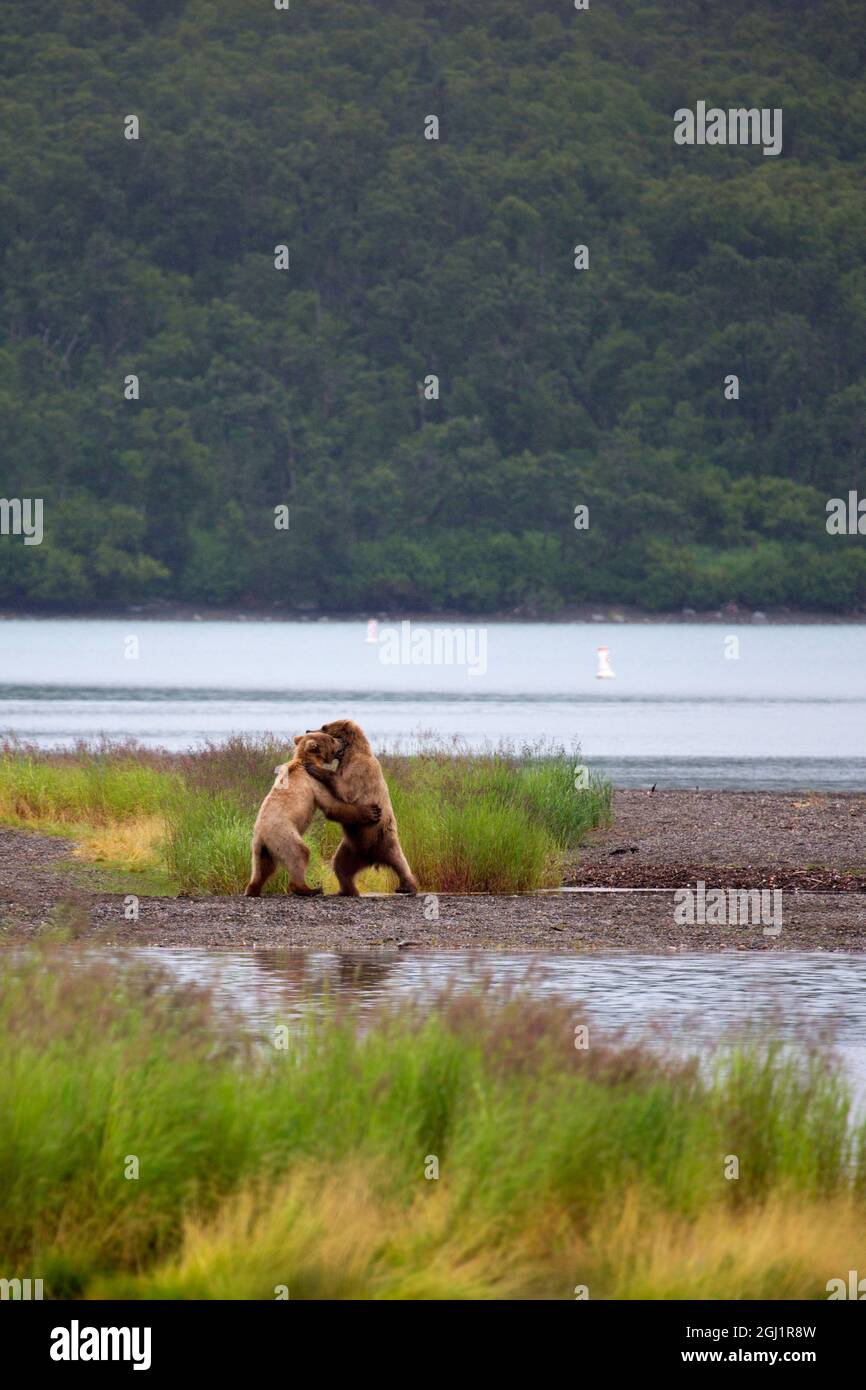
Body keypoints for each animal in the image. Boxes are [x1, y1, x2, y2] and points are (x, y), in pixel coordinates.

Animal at [244, 732, 381, 898]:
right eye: (331, 739)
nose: (342, 740)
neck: (309, 761)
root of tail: (262, 834)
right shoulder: (314, 782)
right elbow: (333, 806)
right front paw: (372, 811)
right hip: (283, 835)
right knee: (299, 854)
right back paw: (310, 889)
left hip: (259, 848)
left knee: (263, 868)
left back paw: (253, 889)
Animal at [302, 718, 419, 897]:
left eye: (324, 727)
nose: (308, 730)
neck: (348, 754)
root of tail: (372, 858)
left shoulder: (360, 769)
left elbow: (346, 790)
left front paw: (312, 767)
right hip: (351, 848)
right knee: (340, 865)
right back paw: (345, 890)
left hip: (383, 836)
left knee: (399, 860)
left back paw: (407, 886)